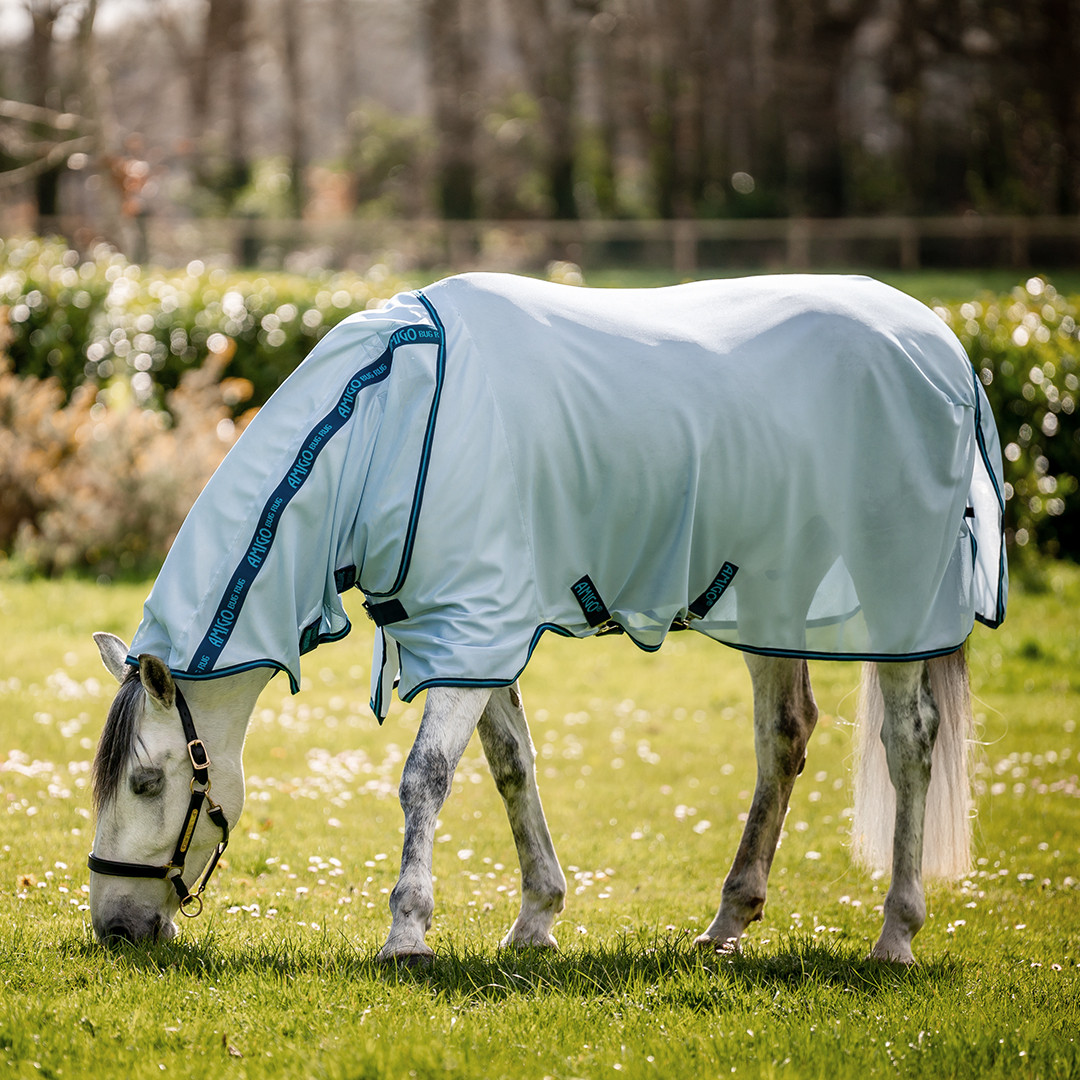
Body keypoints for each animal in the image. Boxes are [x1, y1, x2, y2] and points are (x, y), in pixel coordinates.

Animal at [87, 272, 1007, 964]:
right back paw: (726, 925)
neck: (390, 419)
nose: (115, 928)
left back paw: (896, 935)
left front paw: (407, 933)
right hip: (773, 603)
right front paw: (536, 919)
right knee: (785, 737)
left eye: (146, 782)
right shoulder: (472, 634)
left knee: (909, 743)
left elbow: (425, 778)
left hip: (896, 607)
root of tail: (945, 348)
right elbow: (511, 768)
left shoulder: (474, 627)